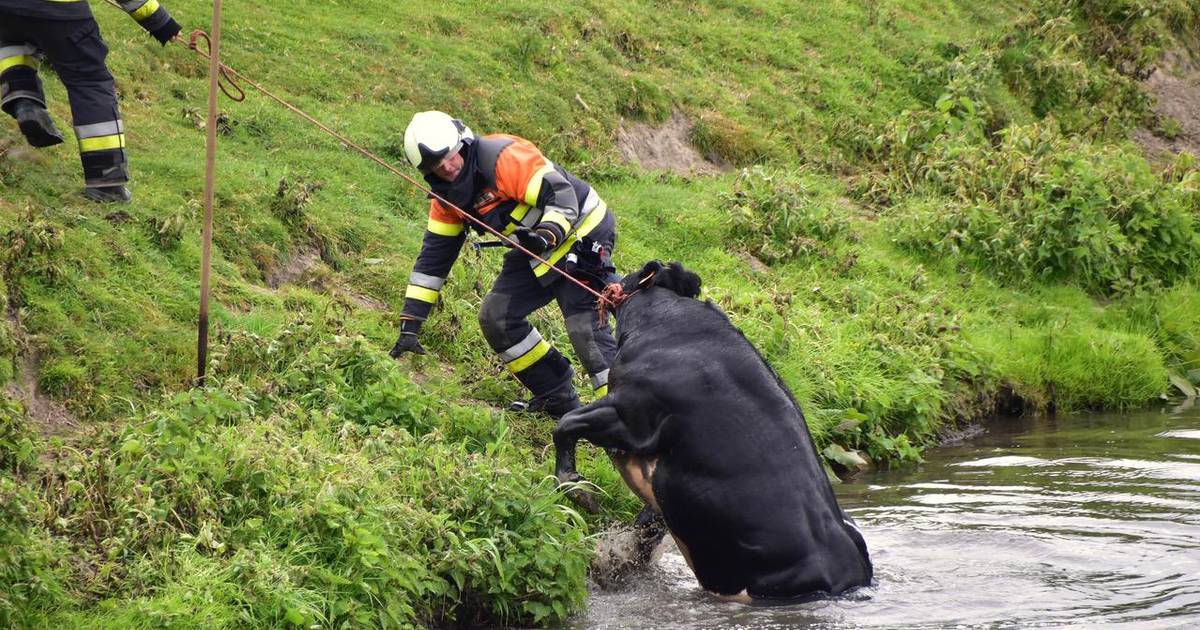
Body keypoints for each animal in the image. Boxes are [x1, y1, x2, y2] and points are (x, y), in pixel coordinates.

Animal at [553, 261, 873, 602]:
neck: (662, 323)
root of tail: (852, 575)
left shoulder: (629, 415)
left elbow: (566, 425)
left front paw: (580, 490)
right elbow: (646, 528)